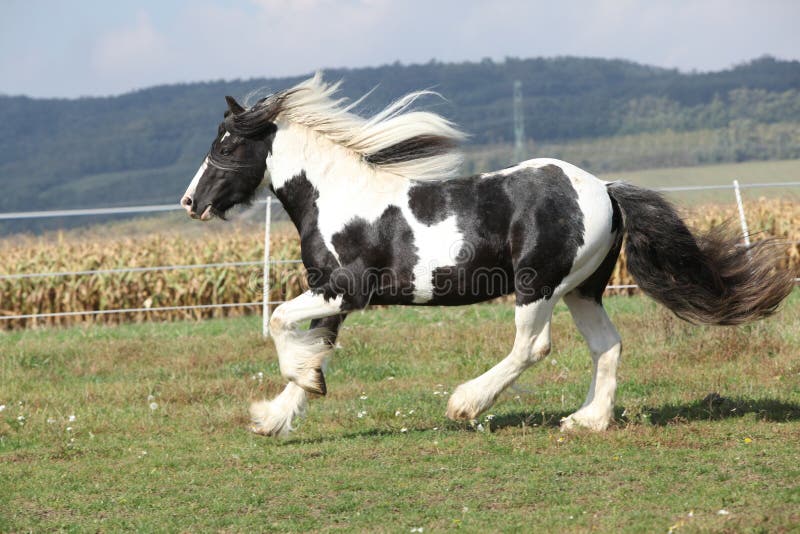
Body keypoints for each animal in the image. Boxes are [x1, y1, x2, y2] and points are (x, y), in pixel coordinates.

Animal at [180, 74, 793, 437]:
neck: (337, 198)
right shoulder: (333, 297)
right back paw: (585, 421)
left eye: (226, 144)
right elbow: (315, 348)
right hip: (581, 289)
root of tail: (605, 190)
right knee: (608, 345)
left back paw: (467, 404)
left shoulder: (344, 290)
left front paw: (296, 390)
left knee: (533, 346)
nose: (192, 203)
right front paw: (276, 413)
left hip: (538, 283)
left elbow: (279, 322)